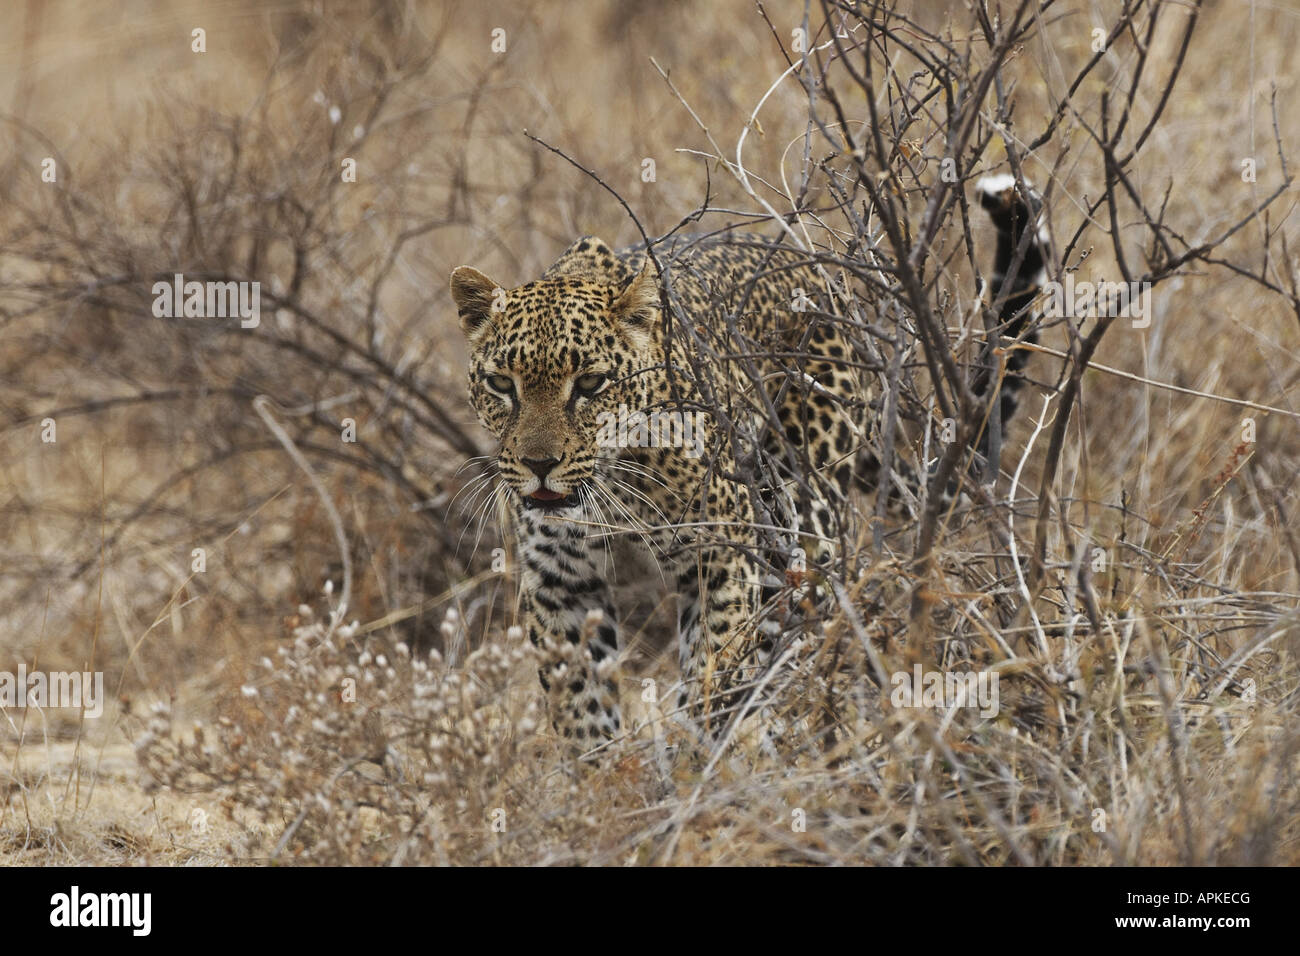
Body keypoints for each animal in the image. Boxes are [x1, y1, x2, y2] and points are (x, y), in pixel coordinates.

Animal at [449, 175, 1048, 751]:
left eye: (591, 384)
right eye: (501, 384)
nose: (539, 464)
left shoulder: (718, 556)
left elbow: (712, 672)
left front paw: (699, 764)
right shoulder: (560, 579)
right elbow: (580, 709)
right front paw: (603, 779)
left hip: (801, 520)